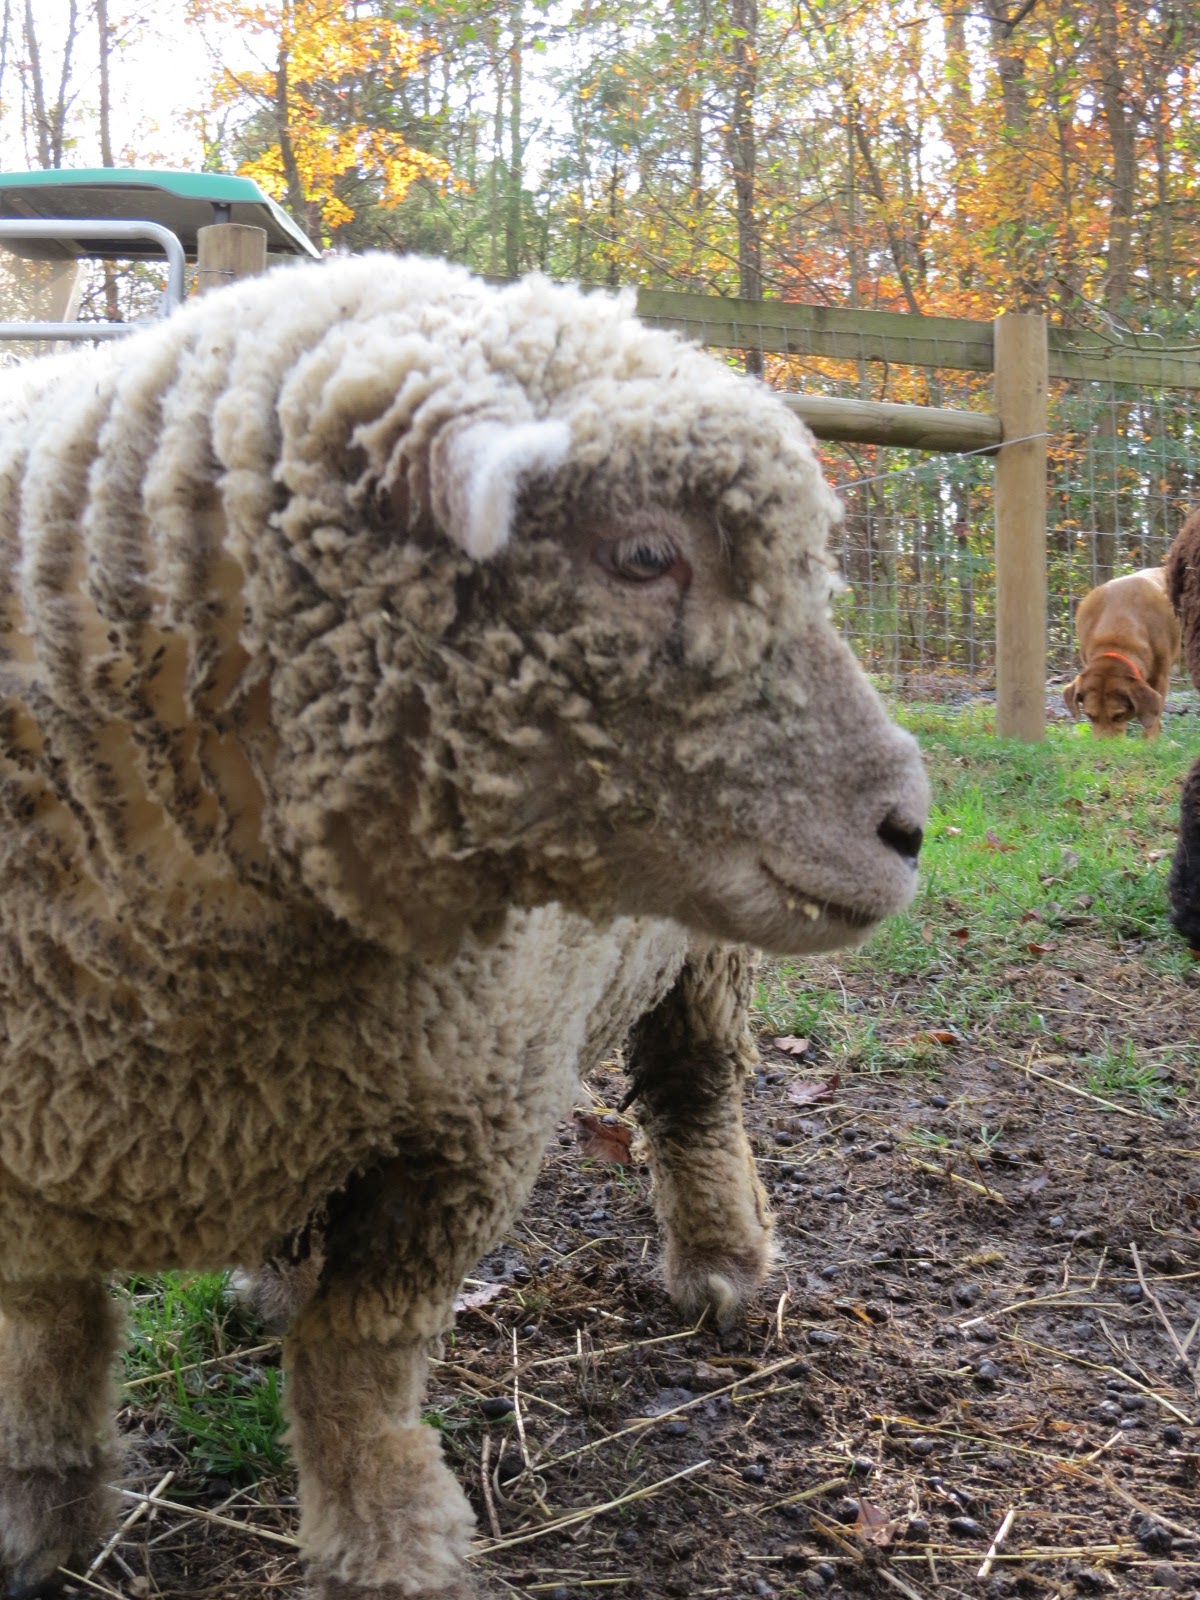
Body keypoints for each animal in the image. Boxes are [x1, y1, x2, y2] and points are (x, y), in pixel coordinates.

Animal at [0, 253, 929, 1599]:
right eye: (644, 551)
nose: (912, 823)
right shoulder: (28, 1149)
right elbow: (48, 1338)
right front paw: (42, 1517)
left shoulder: (467, 1126)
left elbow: (358, 1356)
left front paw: (389, 1542)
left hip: (700, 964)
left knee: (696, 1096)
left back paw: (720, 1263)